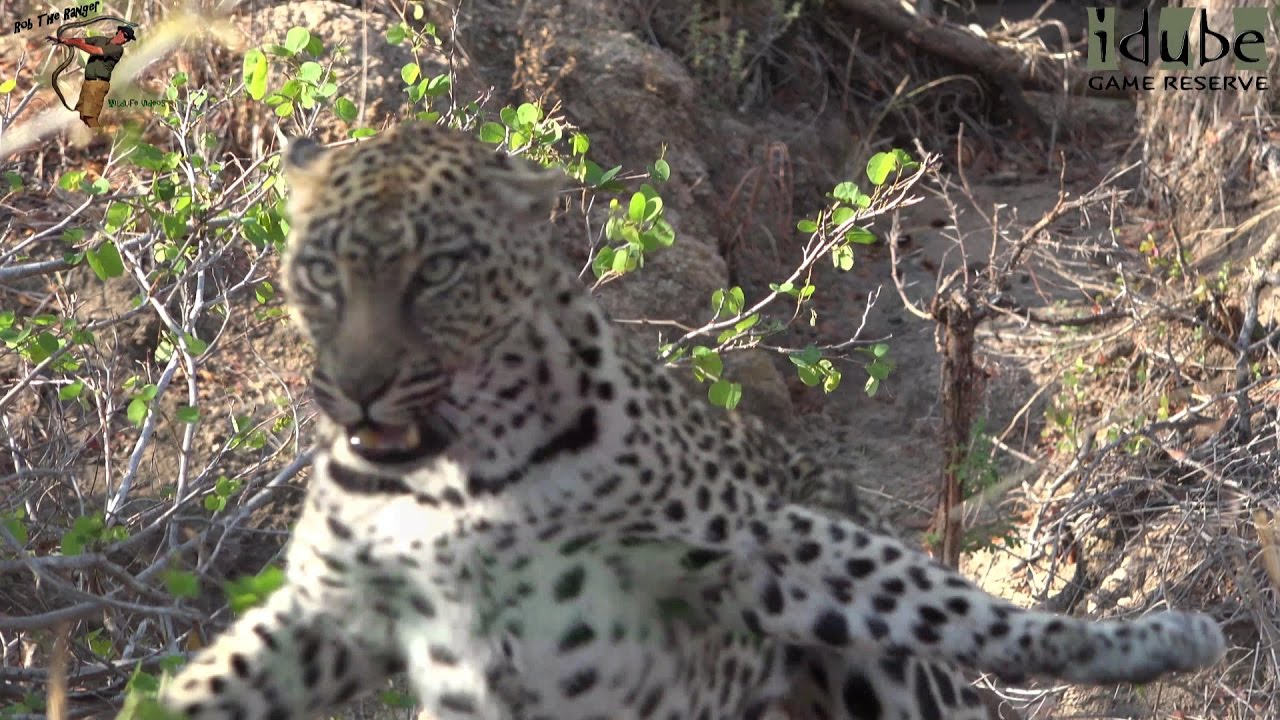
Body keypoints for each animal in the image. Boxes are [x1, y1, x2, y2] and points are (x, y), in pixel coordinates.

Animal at [154, 121, 1226, 720]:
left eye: (439, 271)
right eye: (321, 271)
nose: (360, 388)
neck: (446, 480)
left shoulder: (753, 546)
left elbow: (960, 607)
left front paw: (1147, 642)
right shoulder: (335, 608)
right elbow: (215, 682)